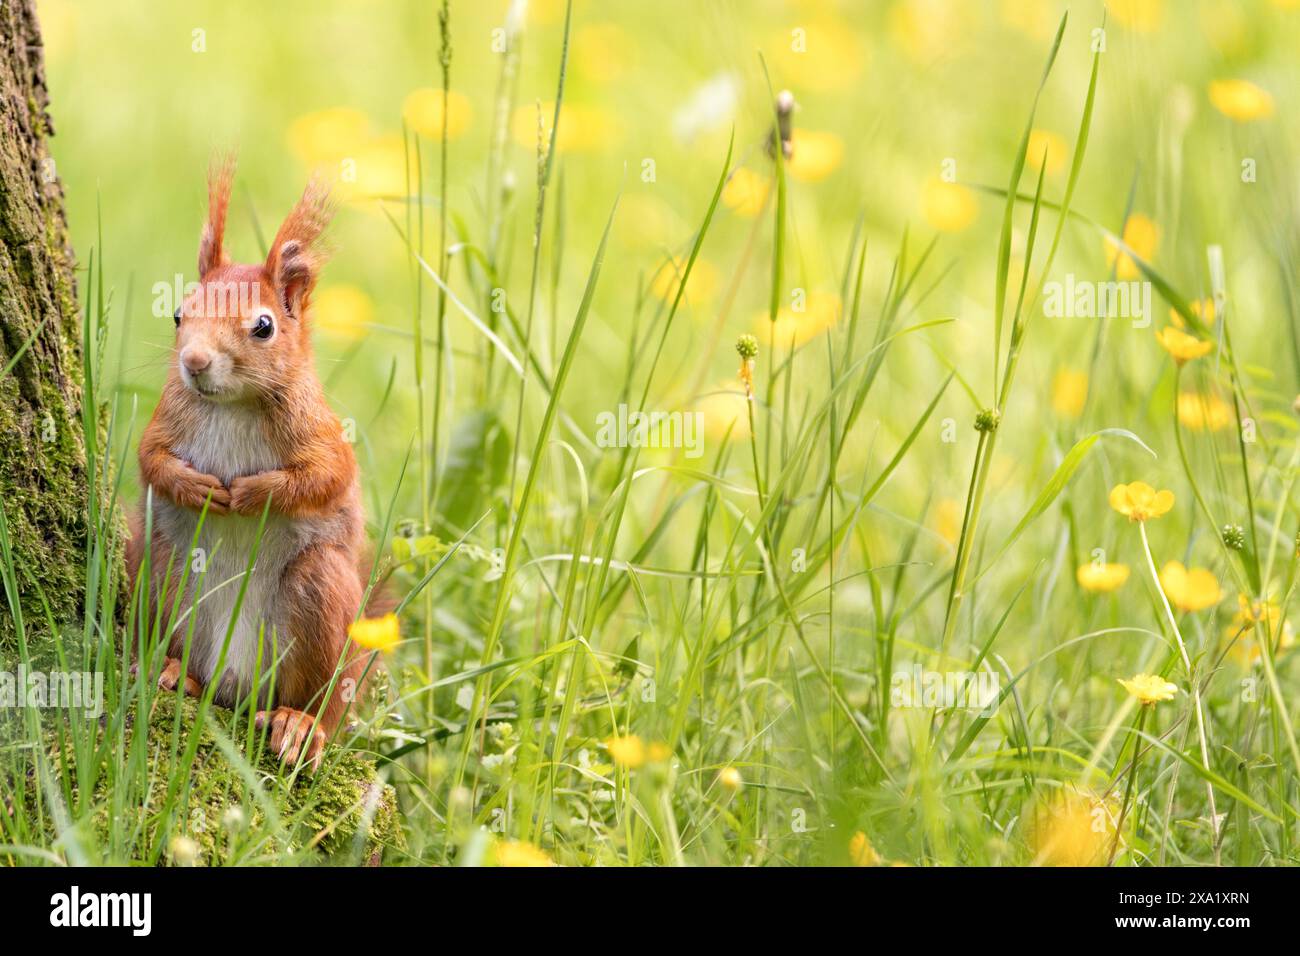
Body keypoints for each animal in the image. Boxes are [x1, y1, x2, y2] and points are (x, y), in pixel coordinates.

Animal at [126, 158, 372, 769]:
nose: (193, 361)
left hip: (322, 599)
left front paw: (253, 494)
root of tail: (235, 682)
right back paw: (174, 673)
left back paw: (299, 725)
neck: (232, 404)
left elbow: (327, 477)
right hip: (164, 575)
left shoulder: (324, 435)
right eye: (177, 314)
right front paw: (194, 487)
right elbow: (150, 459)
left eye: (264, 326)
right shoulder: (166, 419)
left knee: (323, 699)